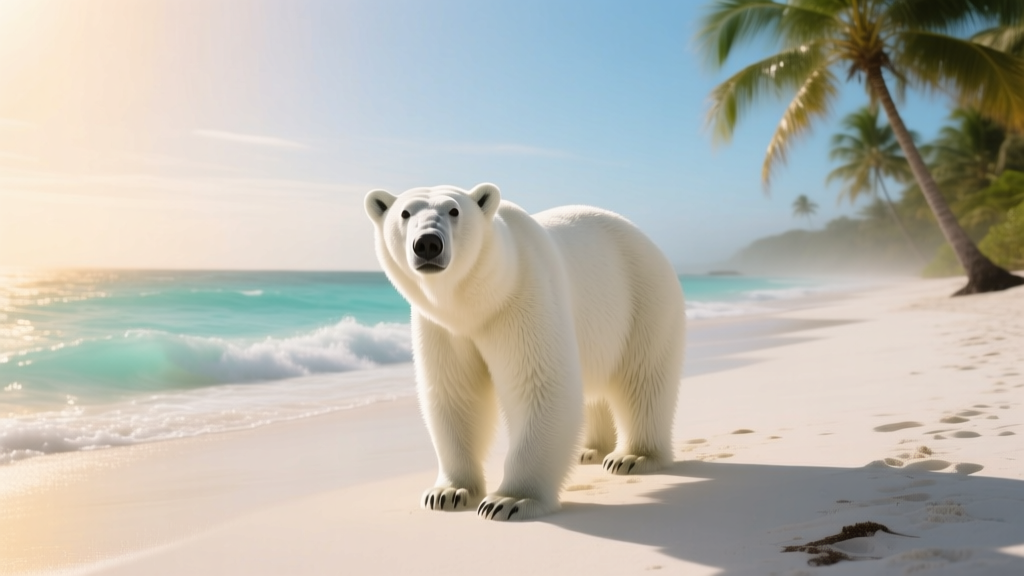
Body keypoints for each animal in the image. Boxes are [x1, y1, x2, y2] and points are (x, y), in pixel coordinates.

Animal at [364, 183, 684, 521]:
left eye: (454, 210)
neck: (478, 301)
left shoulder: (523, 299)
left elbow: (538, 386)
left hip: (644, 300)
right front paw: (448, 492)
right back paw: (591, 449)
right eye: (405, 213)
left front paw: (508, 500)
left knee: (642, 380)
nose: (427, 243)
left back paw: (632, 456)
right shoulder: (443, 329)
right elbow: (455, 394)